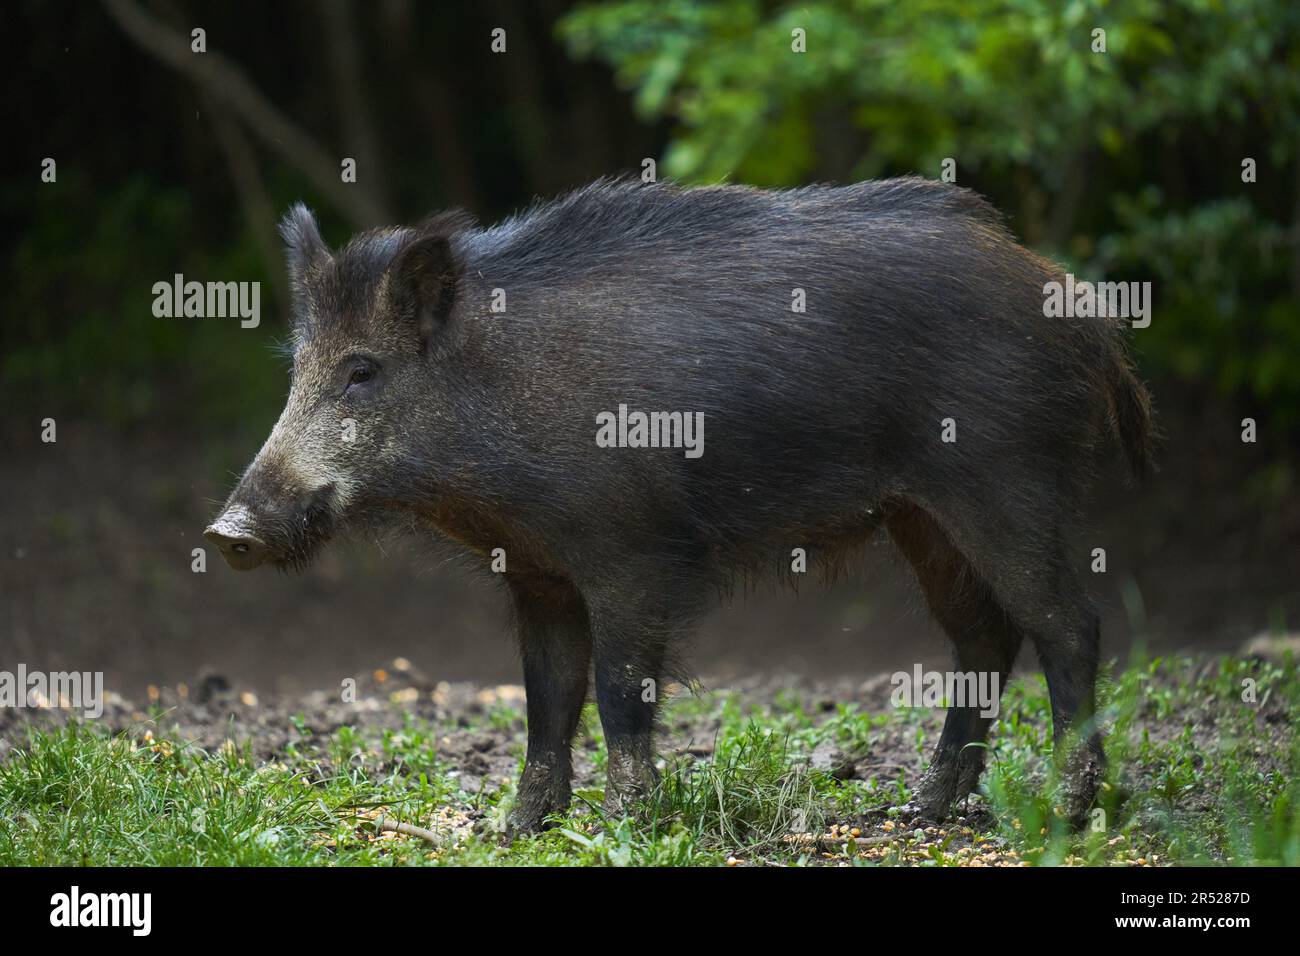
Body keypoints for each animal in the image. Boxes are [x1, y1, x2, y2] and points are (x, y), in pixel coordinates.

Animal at [205, 177, 1153, 834]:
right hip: (921, 518)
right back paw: (921, 811)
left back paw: (1067, 811)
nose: (226, 533)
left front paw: (631, 823)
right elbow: (546, 698)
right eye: (299, 367)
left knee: (1069, 624)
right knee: (983, 637)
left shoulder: (631, 553)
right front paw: (515, 829)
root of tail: (1086, 316)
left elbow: (622, 693)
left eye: (362, 371)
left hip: (1008, 481)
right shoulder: (539, 574)